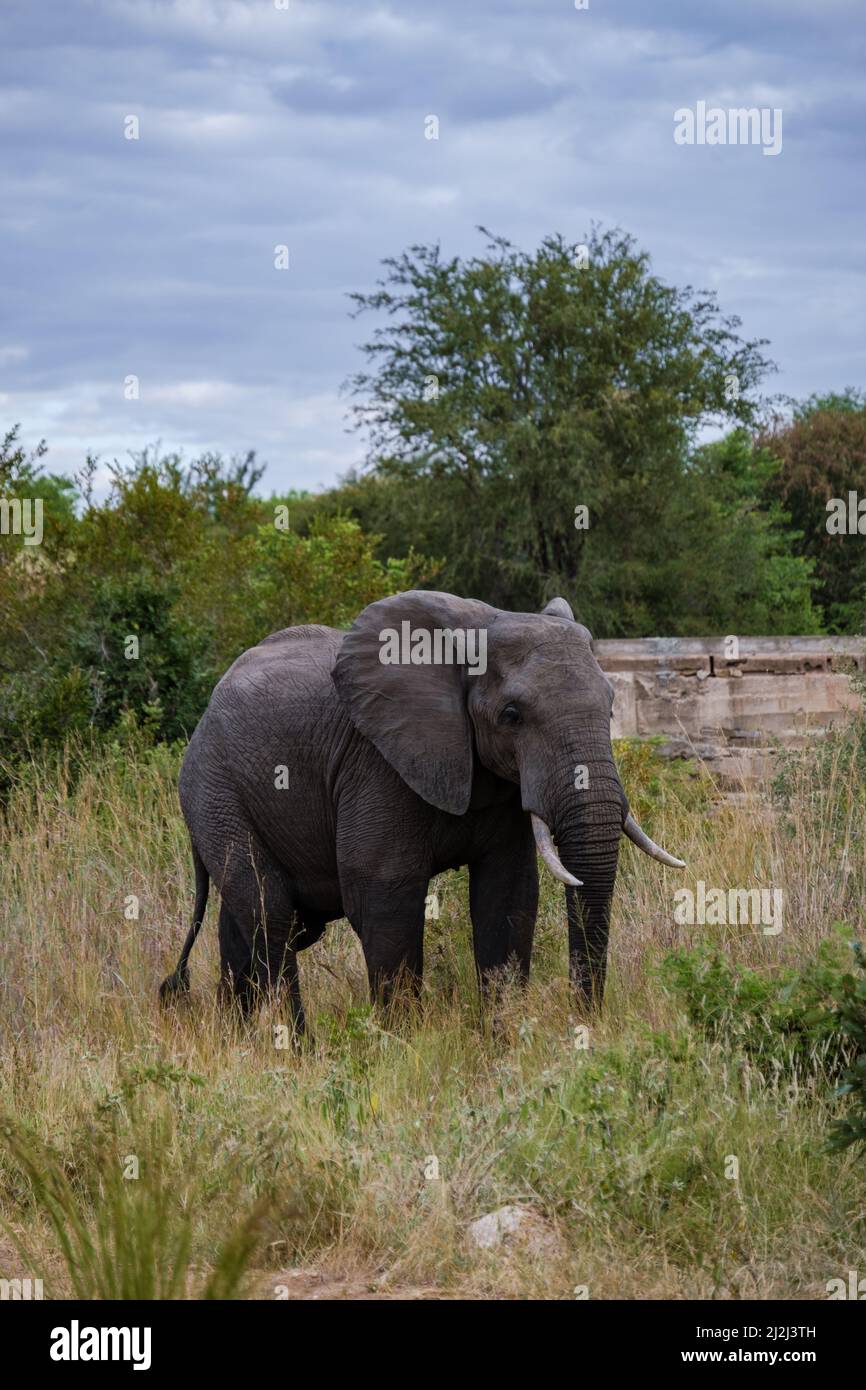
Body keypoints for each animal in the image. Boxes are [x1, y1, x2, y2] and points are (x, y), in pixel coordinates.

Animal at [160, 590, 684, 1029]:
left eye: (612, 706)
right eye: (512, 716)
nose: (583, 1020)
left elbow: (509, 894)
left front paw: (503, 1042)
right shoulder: (376, 762)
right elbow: (383, 894)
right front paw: (402, 1046)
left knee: (245, 923)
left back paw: (238, 1038)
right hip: (213, 790)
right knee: (271, 914)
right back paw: (296, 1045)